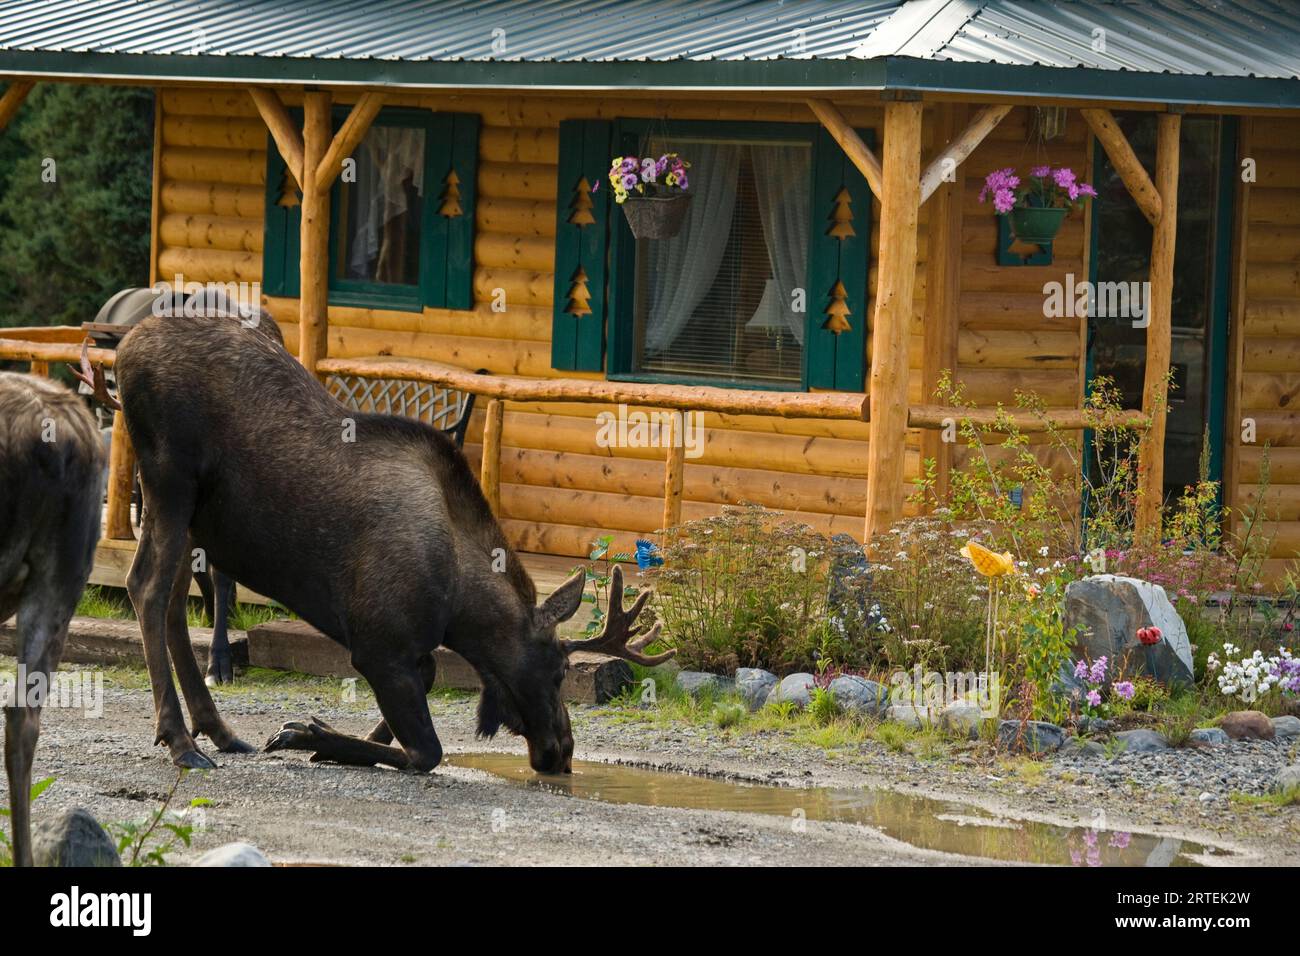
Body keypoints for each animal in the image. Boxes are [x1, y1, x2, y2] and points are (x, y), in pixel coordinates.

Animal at [109, 312, 671, 773]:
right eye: (557, 671)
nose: (563, 752)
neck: (460, 608)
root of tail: (124, 348)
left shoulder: (409, 652)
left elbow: (423, 691)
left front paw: (325, 734)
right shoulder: (378, 646)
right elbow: (426, 751)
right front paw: (307, 734)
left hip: (195, 516)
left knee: (174, 602)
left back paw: (219, 731)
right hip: (169, 482)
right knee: (147, 588)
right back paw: (181, 741)